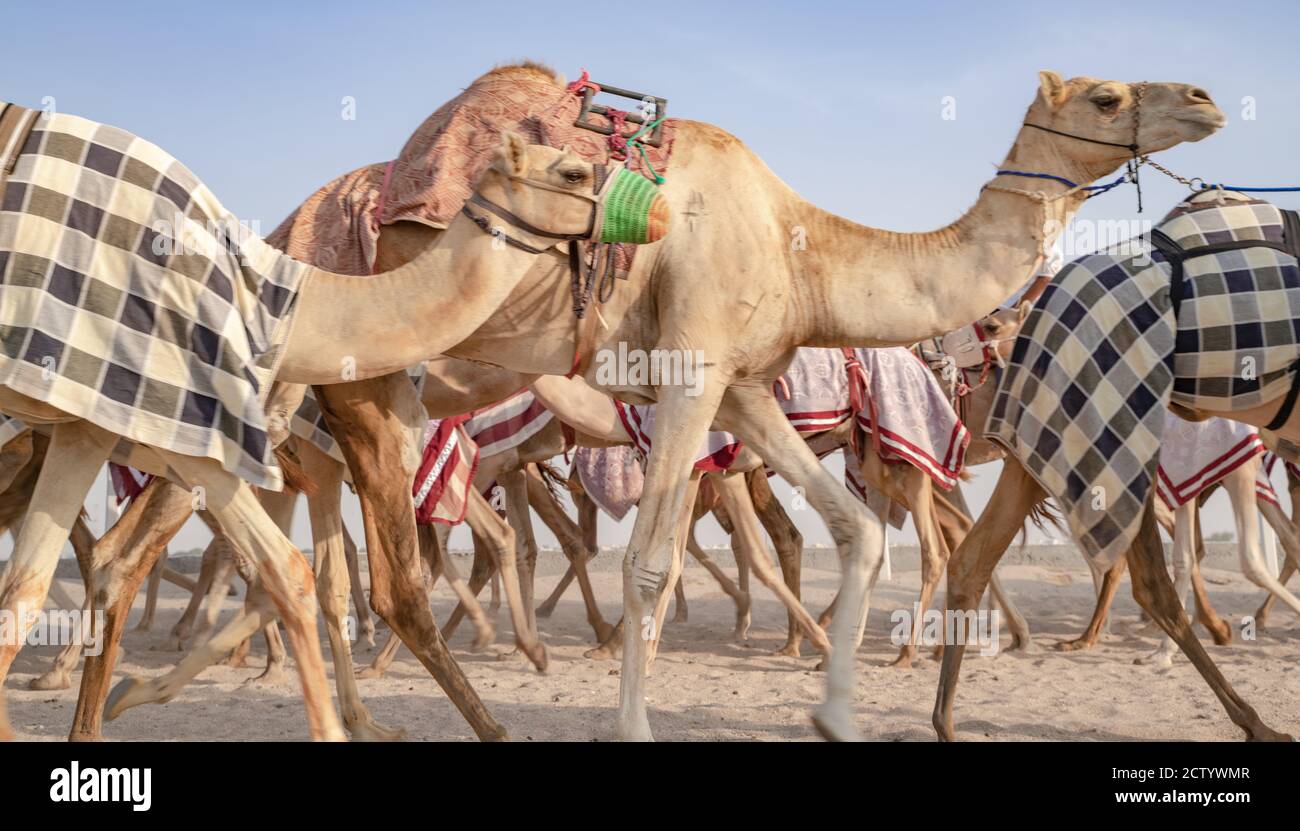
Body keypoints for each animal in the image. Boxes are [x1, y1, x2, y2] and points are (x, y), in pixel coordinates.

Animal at [0, 113, 664, 742]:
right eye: (573, 172)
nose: (657, 212)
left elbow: (317, 579)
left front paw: (358, 715)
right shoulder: (228, 428)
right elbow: (340, 582)